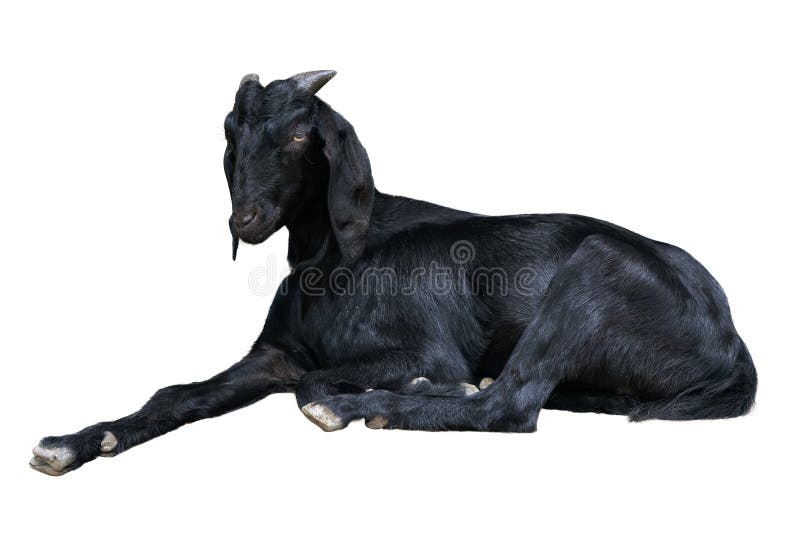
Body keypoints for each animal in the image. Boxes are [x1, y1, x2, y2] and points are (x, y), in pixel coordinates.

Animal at [30, 70, 757, 476]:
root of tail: (731, 338)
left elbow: (319, 382)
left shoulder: (425, 347)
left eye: (301, 135)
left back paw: (375, 406)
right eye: (232, 129)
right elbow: (176, 393)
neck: (326, 266)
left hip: (593, 272)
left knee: (509, 402)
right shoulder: (275, 355)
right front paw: (74, 443)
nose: (246, 218)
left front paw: (363, 396)